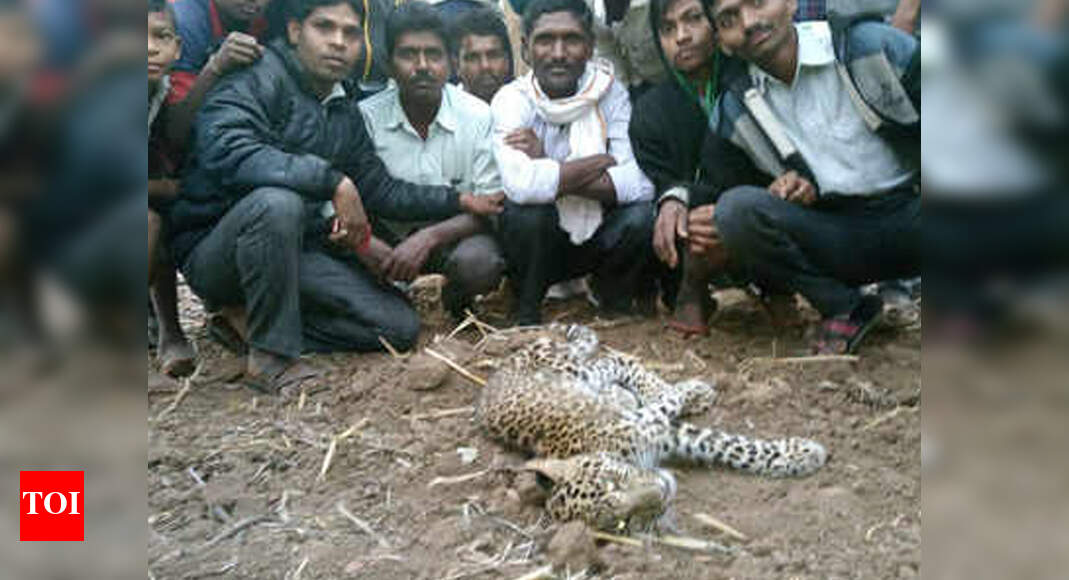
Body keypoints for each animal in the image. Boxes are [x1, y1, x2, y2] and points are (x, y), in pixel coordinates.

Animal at [476, 324, 827, 533]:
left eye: (615, 479)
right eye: (620, 522)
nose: (660, 491)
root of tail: (499, 370)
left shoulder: (654, 427)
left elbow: (728, 442)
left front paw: (801, 453)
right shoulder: (661, 435)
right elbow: (719, 444)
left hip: (572, 368)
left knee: (616, 360)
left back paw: (690, 390)